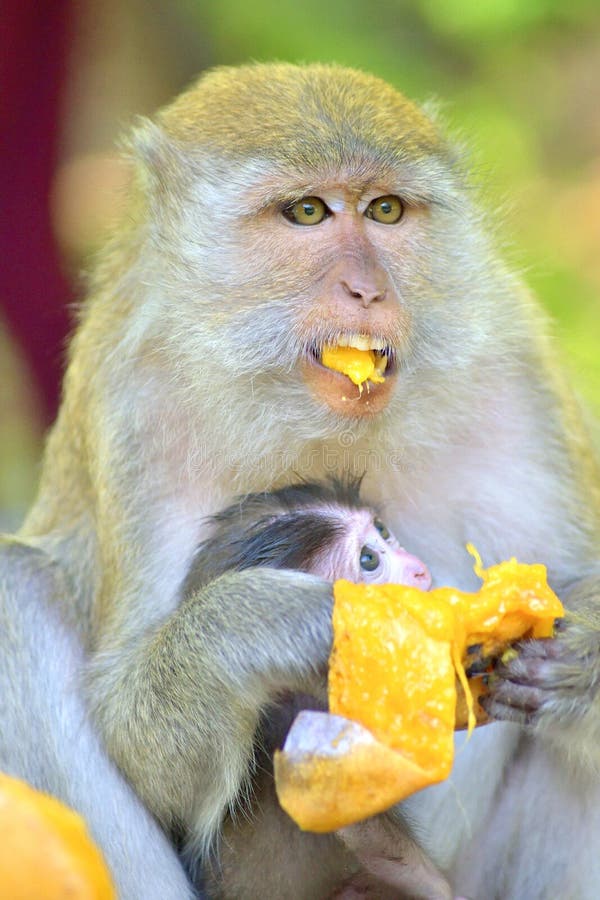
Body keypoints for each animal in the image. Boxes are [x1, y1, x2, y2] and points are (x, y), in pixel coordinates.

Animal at [1, 61, 599, 899]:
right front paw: (284, 623)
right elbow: (142, 752)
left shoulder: (516, 359)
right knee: (16, 589)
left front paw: (589, 652)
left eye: (386, 210)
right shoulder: (134, 404)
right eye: (307, 212)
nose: (367, 290)